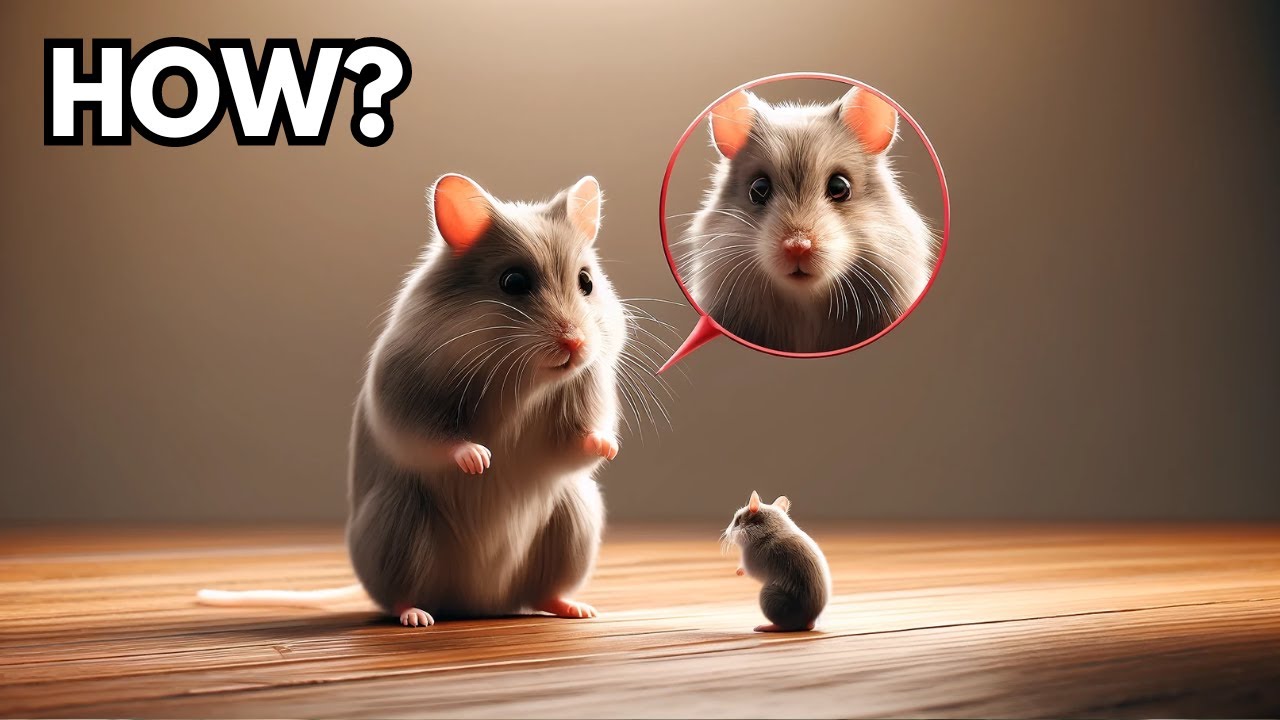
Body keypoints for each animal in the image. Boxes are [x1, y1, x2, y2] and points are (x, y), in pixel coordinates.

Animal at [199, 173, 627, 627]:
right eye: (513, 282)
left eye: (586, 282)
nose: (576, 344)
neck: (520, 378)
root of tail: (479, 602)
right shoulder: (404, 394)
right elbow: (438, 437)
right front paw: (480, 460)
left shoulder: (584, 398)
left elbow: (580, 442)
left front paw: (610, 447)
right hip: (400, 526)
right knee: (399, 597)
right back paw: (417, 616)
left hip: (574, 519)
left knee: (545, 592)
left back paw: (580, 610)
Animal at [723, 491, 831, 632]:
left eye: (738, 520)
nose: (726, 532)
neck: (772, 528)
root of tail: (808, 621)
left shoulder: (751, 560)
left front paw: (739, 571)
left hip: (768, 597)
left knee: (783, 625)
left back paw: (764, 627)